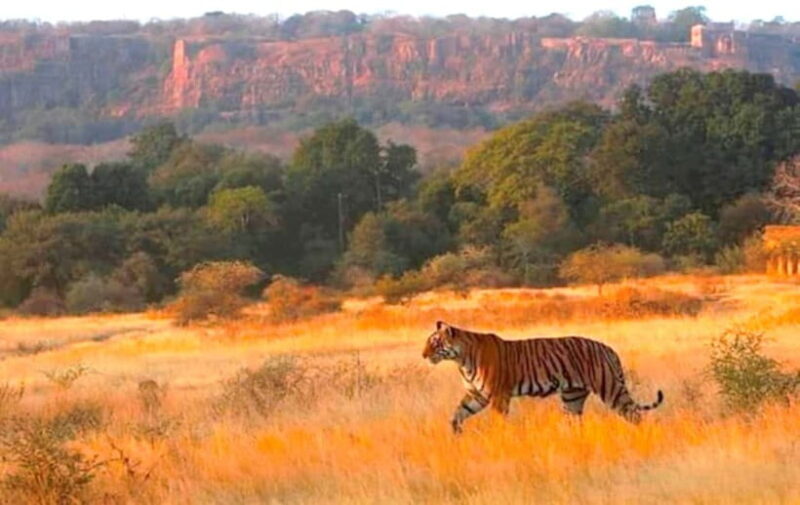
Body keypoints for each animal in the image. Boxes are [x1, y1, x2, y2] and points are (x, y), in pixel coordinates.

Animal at [422, 321, 663, 433]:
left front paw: (498, 438)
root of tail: (608, 348)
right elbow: (458, 413)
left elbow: (498, 421)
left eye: (435, 342)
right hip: (572, 396)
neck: (460, 360)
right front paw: (456, 433)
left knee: (634, 414)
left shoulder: (498, 395)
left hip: (610, 388)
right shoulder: (476, 394)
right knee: (574, 421)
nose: (423, 355)